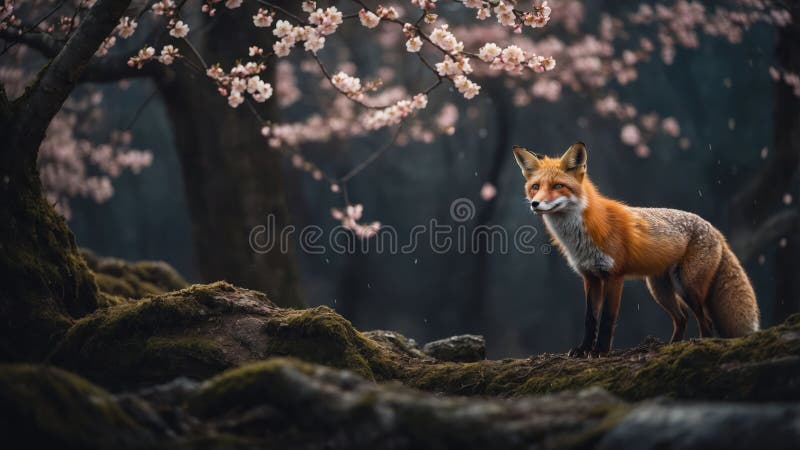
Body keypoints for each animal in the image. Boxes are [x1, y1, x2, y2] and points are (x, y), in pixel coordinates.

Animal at [512, 142, 760, 357]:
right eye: (535, 187)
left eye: (558, 186)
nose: (535, 204)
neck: (582, 233)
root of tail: (714, 229)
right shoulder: (590, 276)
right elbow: (590, 319)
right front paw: (583, 350)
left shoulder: (614, 275)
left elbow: (607, 318)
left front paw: (600, 351)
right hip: (660, 290)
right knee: (682, 317)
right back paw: (672, 346)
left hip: (688, 286)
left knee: (704, 320)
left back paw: (700, 343)